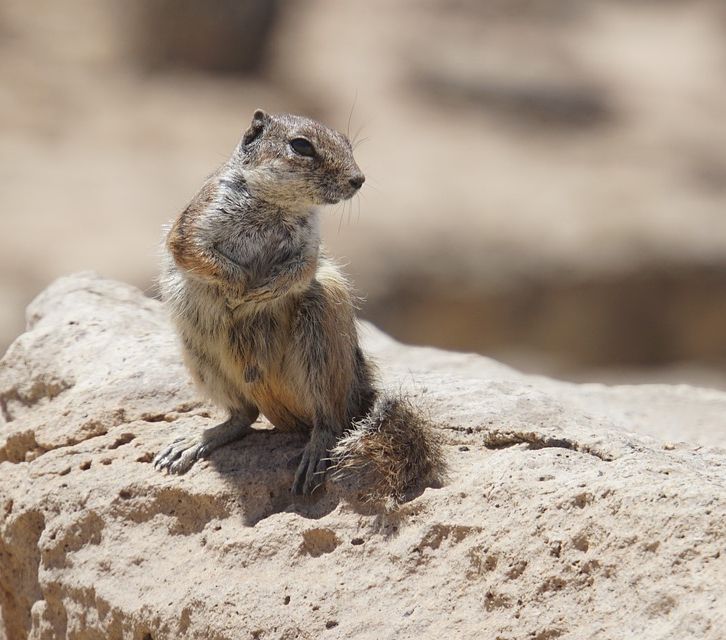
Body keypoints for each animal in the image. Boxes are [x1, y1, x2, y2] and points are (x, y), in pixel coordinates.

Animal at [153, 109, 445, 501]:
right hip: (200, 355)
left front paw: (257, 294)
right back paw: (194, 442)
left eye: (347, 142)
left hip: (323, 333)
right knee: (243, 416)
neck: (277, 204)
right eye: (301, 146)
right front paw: (238, 287)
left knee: (331, 418)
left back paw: (315, 453)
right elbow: (193, 252)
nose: (358, 179)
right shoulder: (197, 220)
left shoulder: (309, 245)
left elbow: (301, 270)